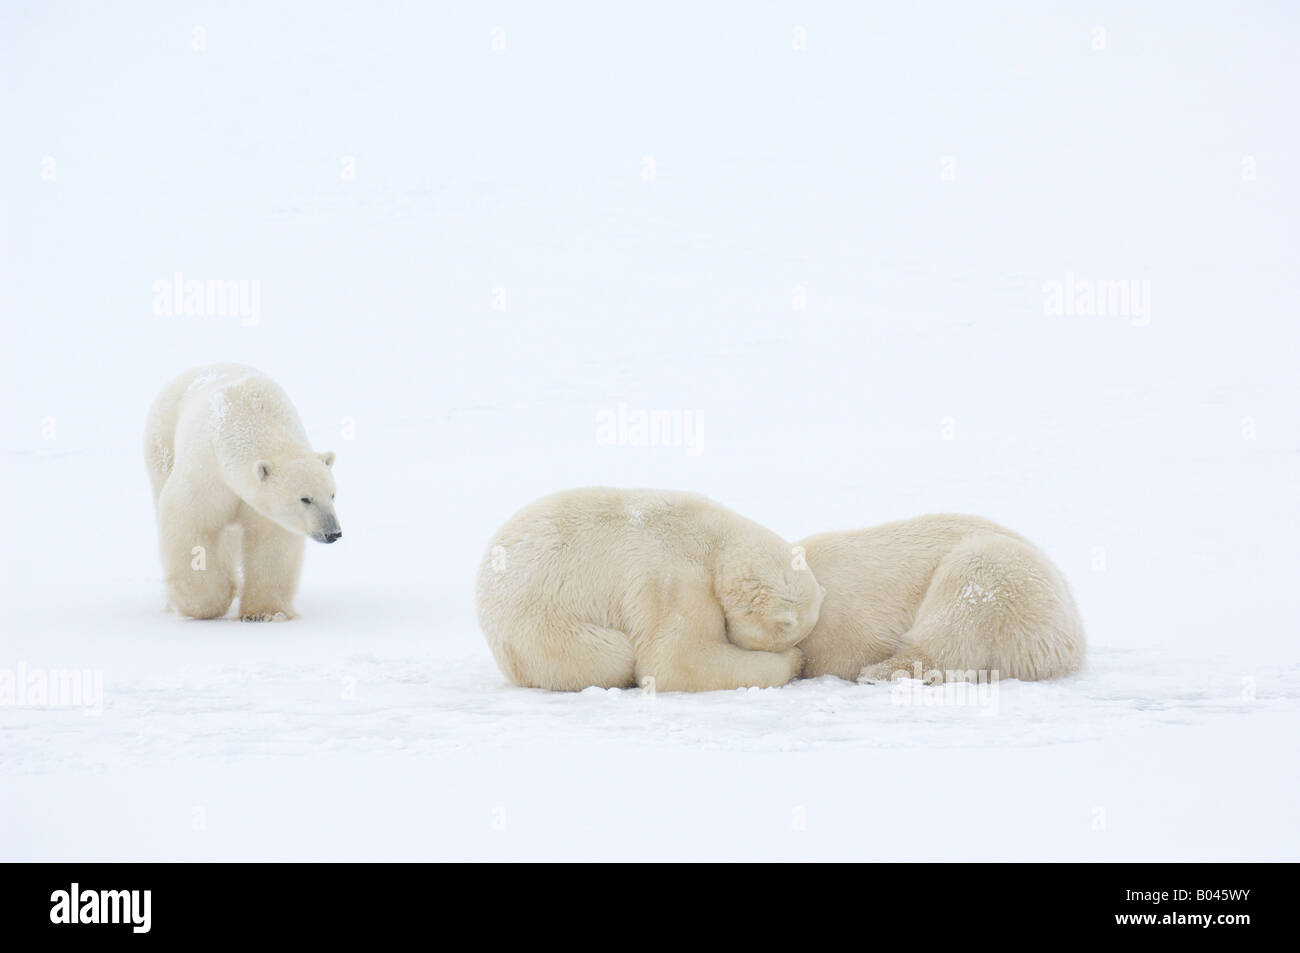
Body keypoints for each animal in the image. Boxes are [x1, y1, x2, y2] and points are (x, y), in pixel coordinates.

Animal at [144, 364, 341, 621]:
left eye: (332, 494)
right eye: (305, 498)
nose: (333, 532)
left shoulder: (265, 508)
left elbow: (271, 544)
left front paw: (265, 612)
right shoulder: (208, 473)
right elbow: (191, 524)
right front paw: (209, 603)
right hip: (162, 444)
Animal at [476, 487, 826, 692]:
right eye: (785, 640)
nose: (798, 647)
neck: (717, 540)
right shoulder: (674, 578)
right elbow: (679, 659)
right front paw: (795, 661)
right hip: (541, 627)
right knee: (610, 654)